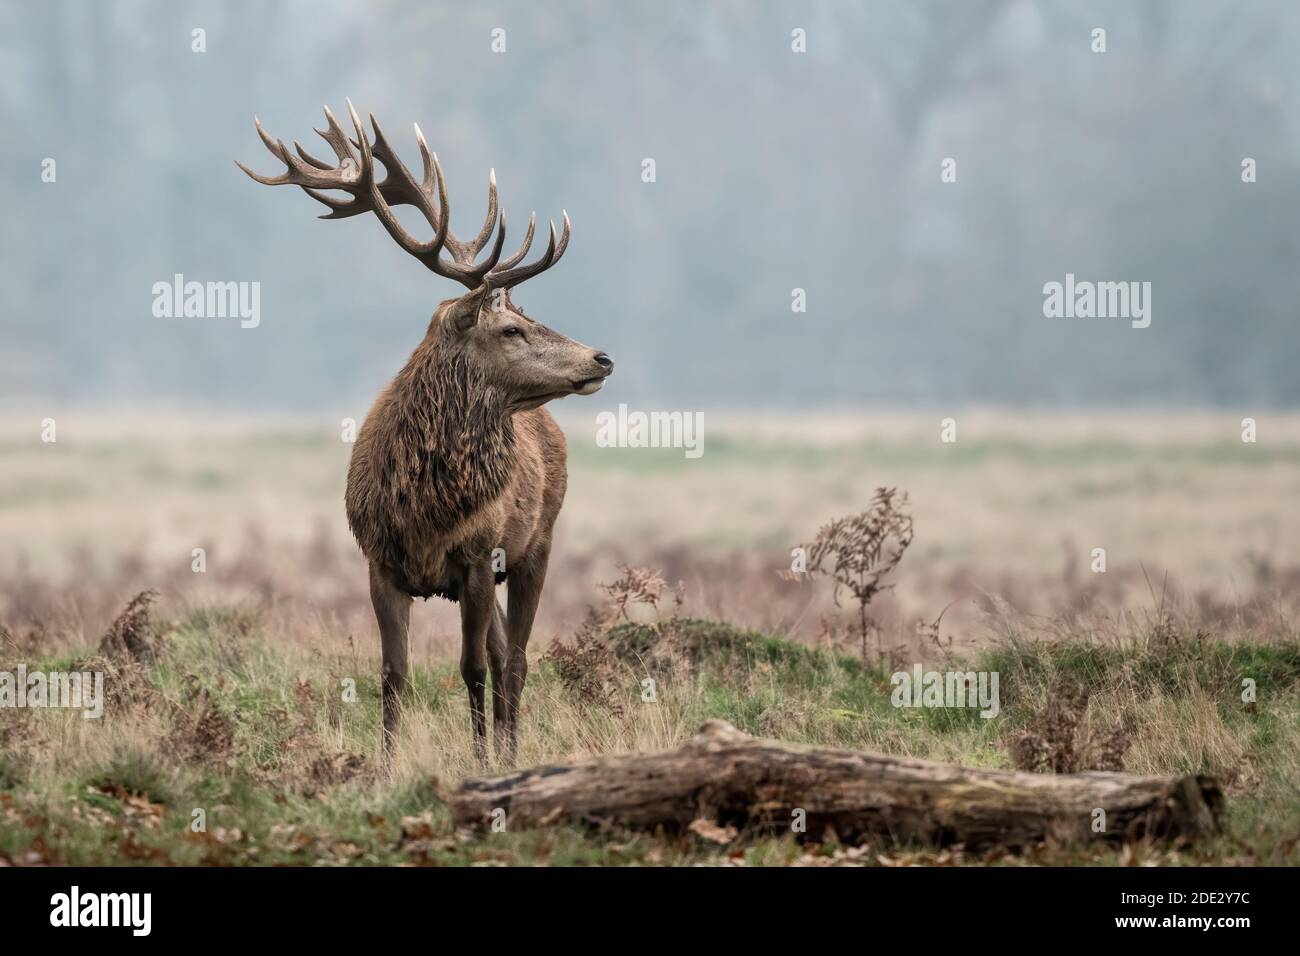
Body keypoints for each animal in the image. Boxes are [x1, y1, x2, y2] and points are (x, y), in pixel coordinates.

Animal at [238, 102, 613, 763]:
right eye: (511, 329)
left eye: (525, 316)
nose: (601, 358)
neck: (427, 509)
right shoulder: (378, 562)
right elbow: (394, 673)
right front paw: (386, 765)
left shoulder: (475, 559)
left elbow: (471, 668)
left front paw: (481, 759)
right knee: (504, 653)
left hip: (537, 542)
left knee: (515, 660)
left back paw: (509, 753)